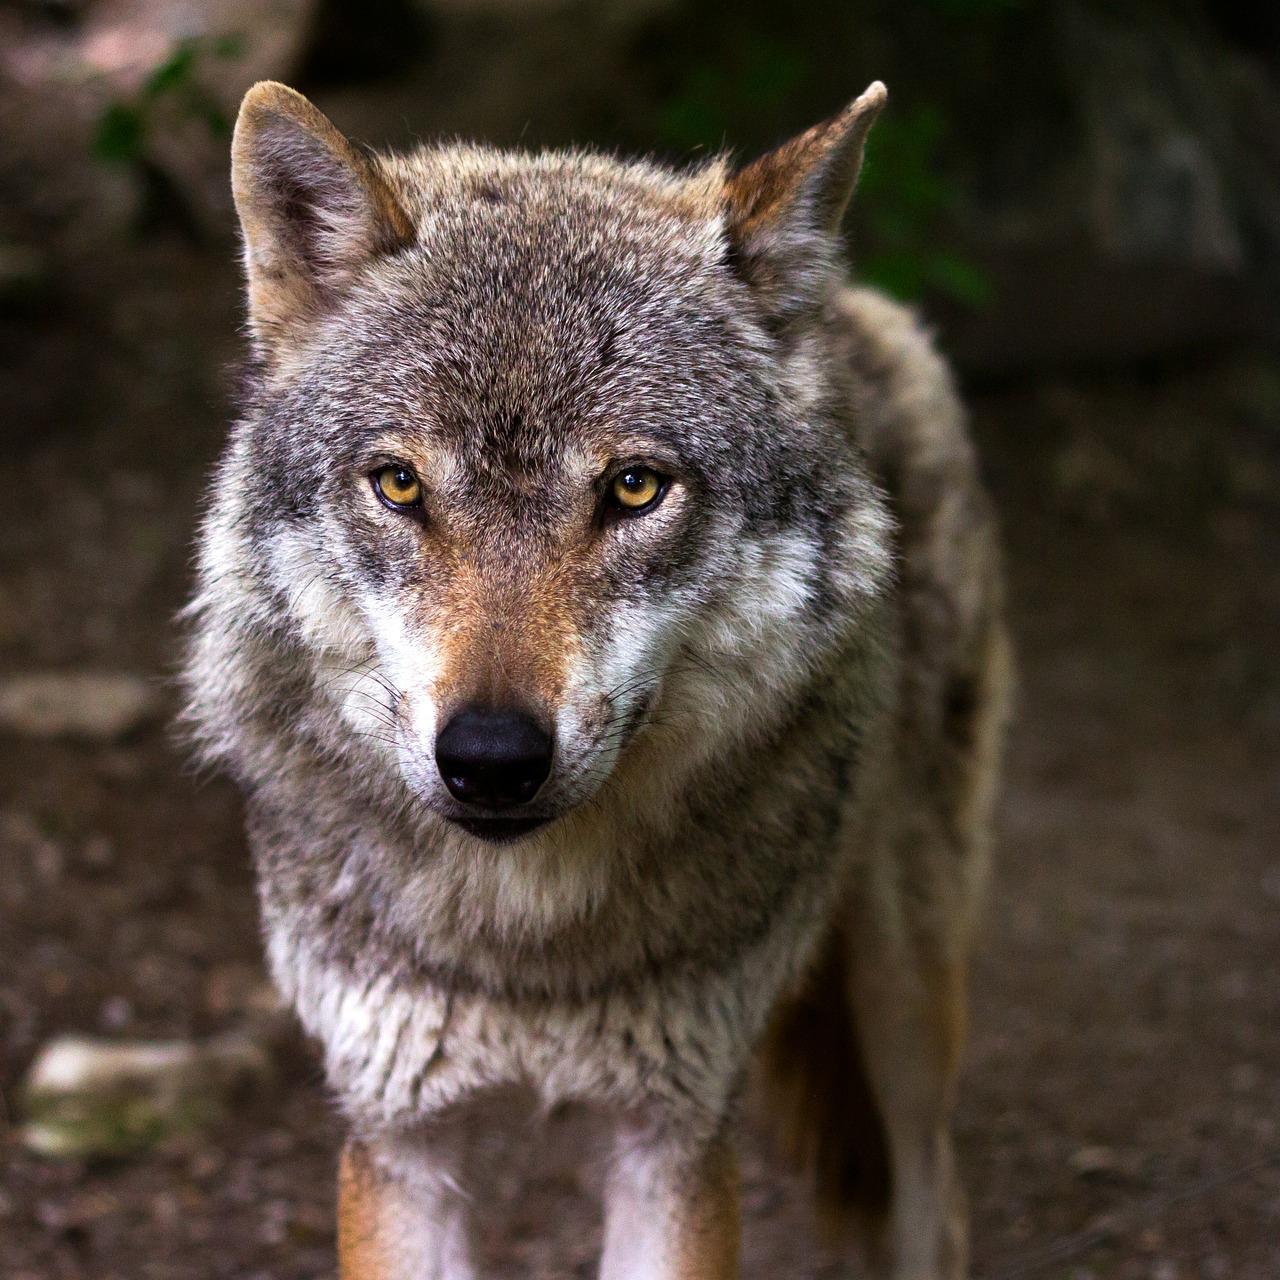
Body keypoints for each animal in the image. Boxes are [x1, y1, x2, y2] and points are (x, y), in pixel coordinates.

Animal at [182, 77, 1010, 1279]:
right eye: (398, 484)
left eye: (632, 488)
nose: (490, 758)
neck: (527, 944)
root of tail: (850, 306)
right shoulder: (398, 1136)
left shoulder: (673, 1135)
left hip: (906, 992)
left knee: (933, 1197)